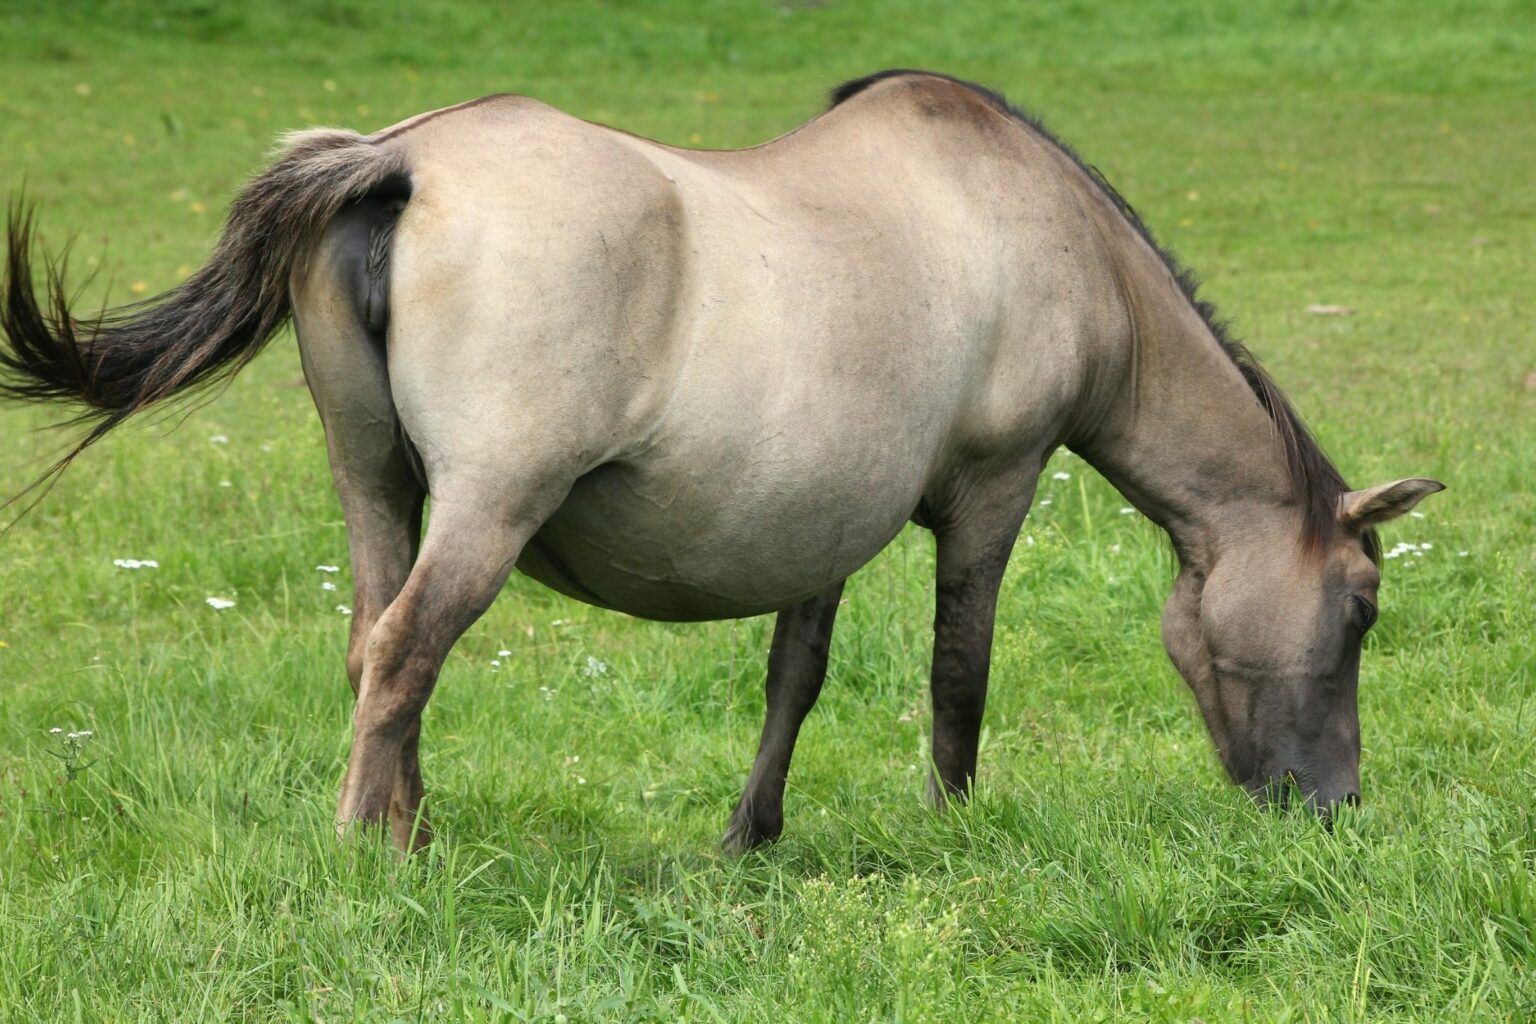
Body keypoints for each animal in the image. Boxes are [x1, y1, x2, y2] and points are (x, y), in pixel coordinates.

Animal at [0, 70, 1441, 852]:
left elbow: (792, 679)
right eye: (1363, 607)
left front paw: (751, 834)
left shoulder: (821, 520)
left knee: (371, 650)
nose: (1337, 807)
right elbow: (960, 671)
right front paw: (954, 823)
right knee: (408, 649)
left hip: (375, 486)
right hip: (485, 508)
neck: (1044, 234)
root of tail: (398, 161)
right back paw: (372, 850)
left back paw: (412, 827)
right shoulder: (995, 488)